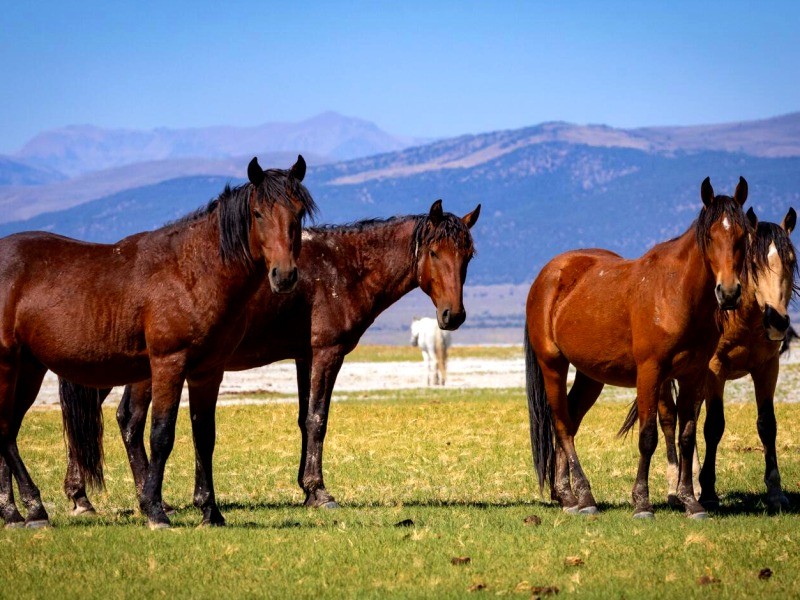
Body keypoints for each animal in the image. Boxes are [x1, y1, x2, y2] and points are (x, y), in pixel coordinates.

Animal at [0, 156, 315, 529]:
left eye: (298, 212)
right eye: (257, 213)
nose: (285, 275)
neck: (190, 272)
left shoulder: (209, 371)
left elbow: (204, 436)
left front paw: (210, 511)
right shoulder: (168, 364)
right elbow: (161, 435)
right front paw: (155, 510)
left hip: (29, 368)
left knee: (7, 430)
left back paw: (18, 512)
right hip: (8, 364)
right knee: (4, 429)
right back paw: (30, 508)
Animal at [58, 200, 480, 514]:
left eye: (468, 255)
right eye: (434, 252)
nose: (453, 316)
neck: (342, 268)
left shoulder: (304, 357)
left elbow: (304, 420)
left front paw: (307, 489)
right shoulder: (326, 353)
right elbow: (317, 420)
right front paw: (320, 493)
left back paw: (84, 496)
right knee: (127, 420)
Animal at [525, 177, 749, 519]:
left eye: (742, 236)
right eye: (710, 237)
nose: (729, 292)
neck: (675, 293)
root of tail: (548, 275)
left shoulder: (693, 374)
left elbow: (686, 436)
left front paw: (690, 501)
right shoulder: (650, 372)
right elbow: (648, 437)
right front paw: (642, 503)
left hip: (591, 376)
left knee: (571, 421)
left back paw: (567, 495)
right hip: (553, 364)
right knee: (562, 425)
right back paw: (583, 497)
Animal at [618, 206, 797, 511]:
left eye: (791, 260)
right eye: (753, 263)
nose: (777, 320)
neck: (742, 318)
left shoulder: (767, 368)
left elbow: (767, 425)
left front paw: (775, 491)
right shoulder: (715, 370)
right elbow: (713, 426)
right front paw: (710, 491)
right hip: (664, 378)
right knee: (669, 420)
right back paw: (674, 487)